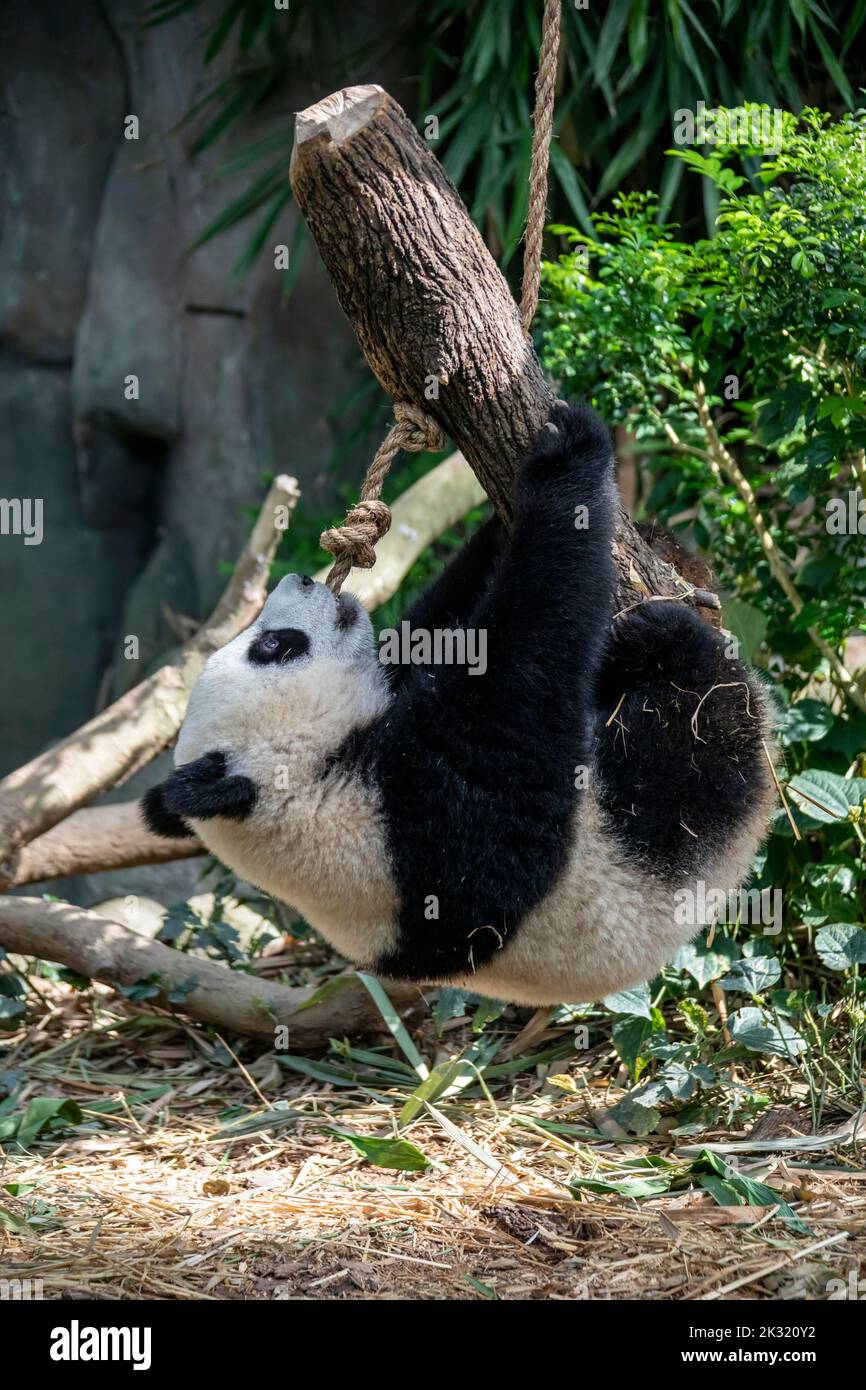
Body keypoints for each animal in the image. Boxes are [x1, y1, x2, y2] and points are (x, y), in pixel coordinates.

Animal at [142, 401, 775, 1005]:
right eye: (273, 647)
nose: (298, 579)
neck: (306, 780)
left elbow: (434, 630)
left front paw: (499, 517)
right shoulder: (425, 815)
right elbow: (525, 659)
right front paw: (565, 457)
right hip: (658, 836)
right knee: (698, 734)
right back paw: (668, 643)